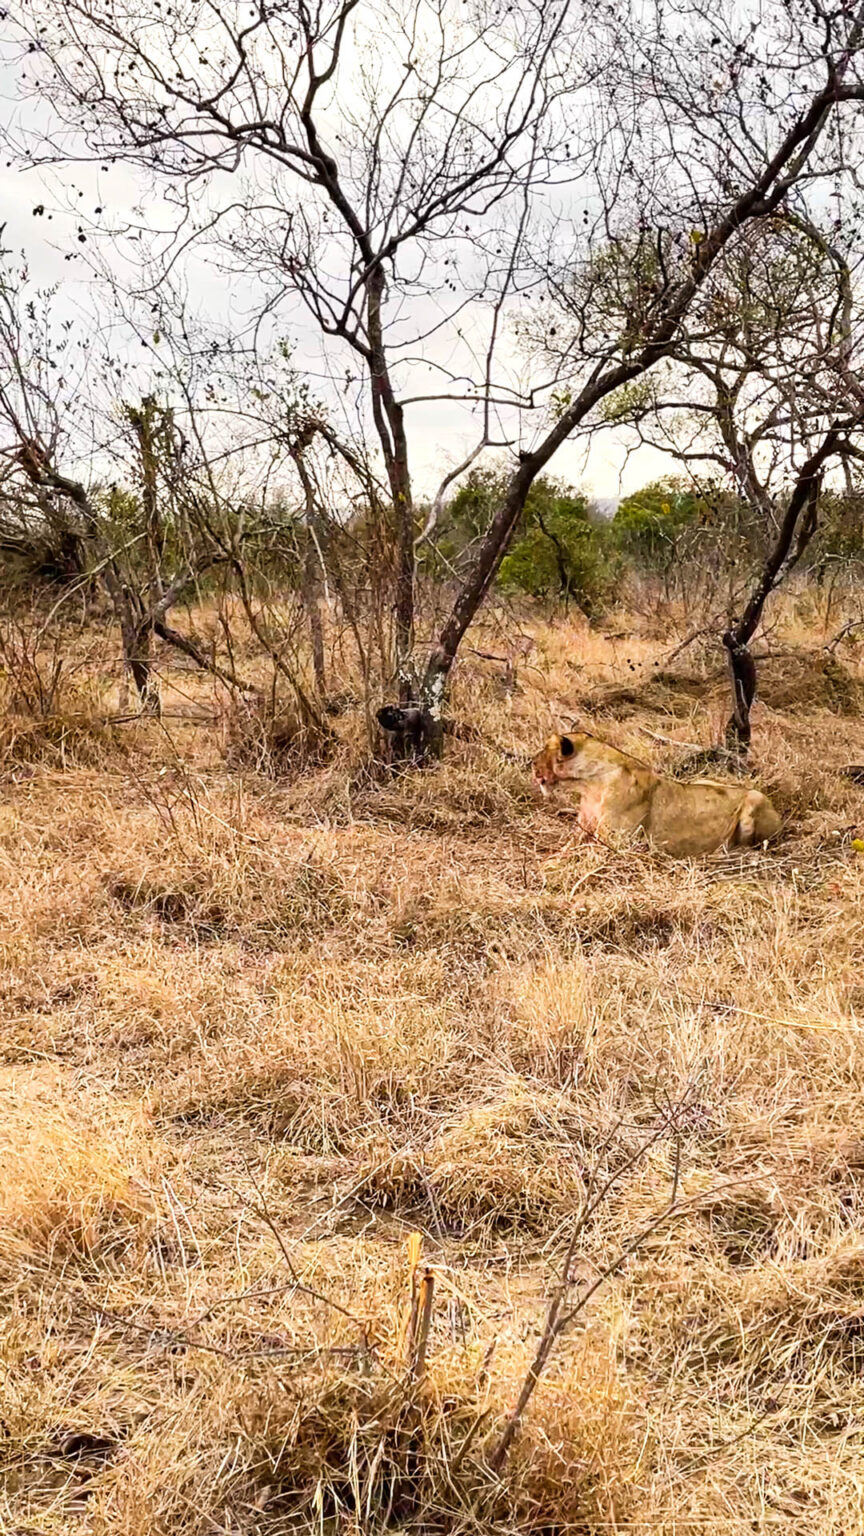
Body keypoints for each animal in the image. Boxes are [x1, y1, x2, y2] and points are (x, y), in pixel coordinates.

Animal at [532, 731, 781, 857]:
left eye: (543, 750)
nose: (530, 763)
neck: (589, 784)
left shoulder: (618, 845)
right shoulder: (584, 828)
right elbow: (564, 848)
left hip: (754, 798)